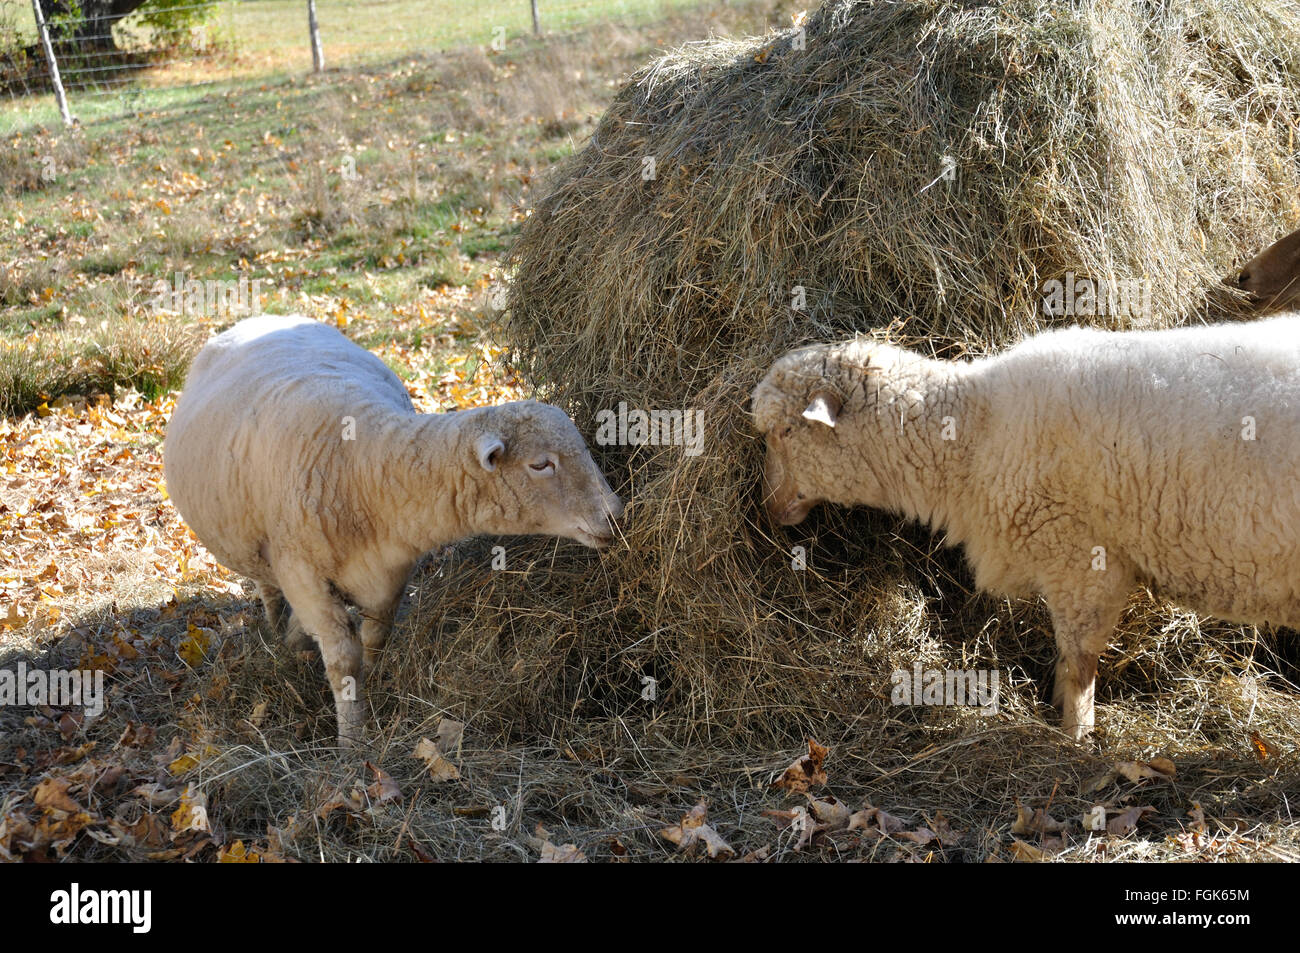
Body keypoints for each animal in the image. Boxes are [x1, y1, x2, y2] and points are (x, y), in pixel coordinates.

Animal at [164, 314, 623, 748]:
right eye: (540, 464)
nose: (615, 515)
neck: (364, 466)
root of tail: (260, 319)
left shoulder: (391, 575)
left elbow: (375, 639)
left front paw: (376, 682)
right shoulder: (304, 575)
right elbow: (344, 661)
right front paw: (352, 739)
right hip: (258, 547)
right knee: (268, 587)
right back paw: (278, 630)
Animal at [751, 316, 1300, 740]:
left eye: (786, 431)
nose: (768, 509)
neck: (976, 434)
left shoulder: (1082, 559)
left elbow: (1079, 657)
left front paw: (1074, 731)